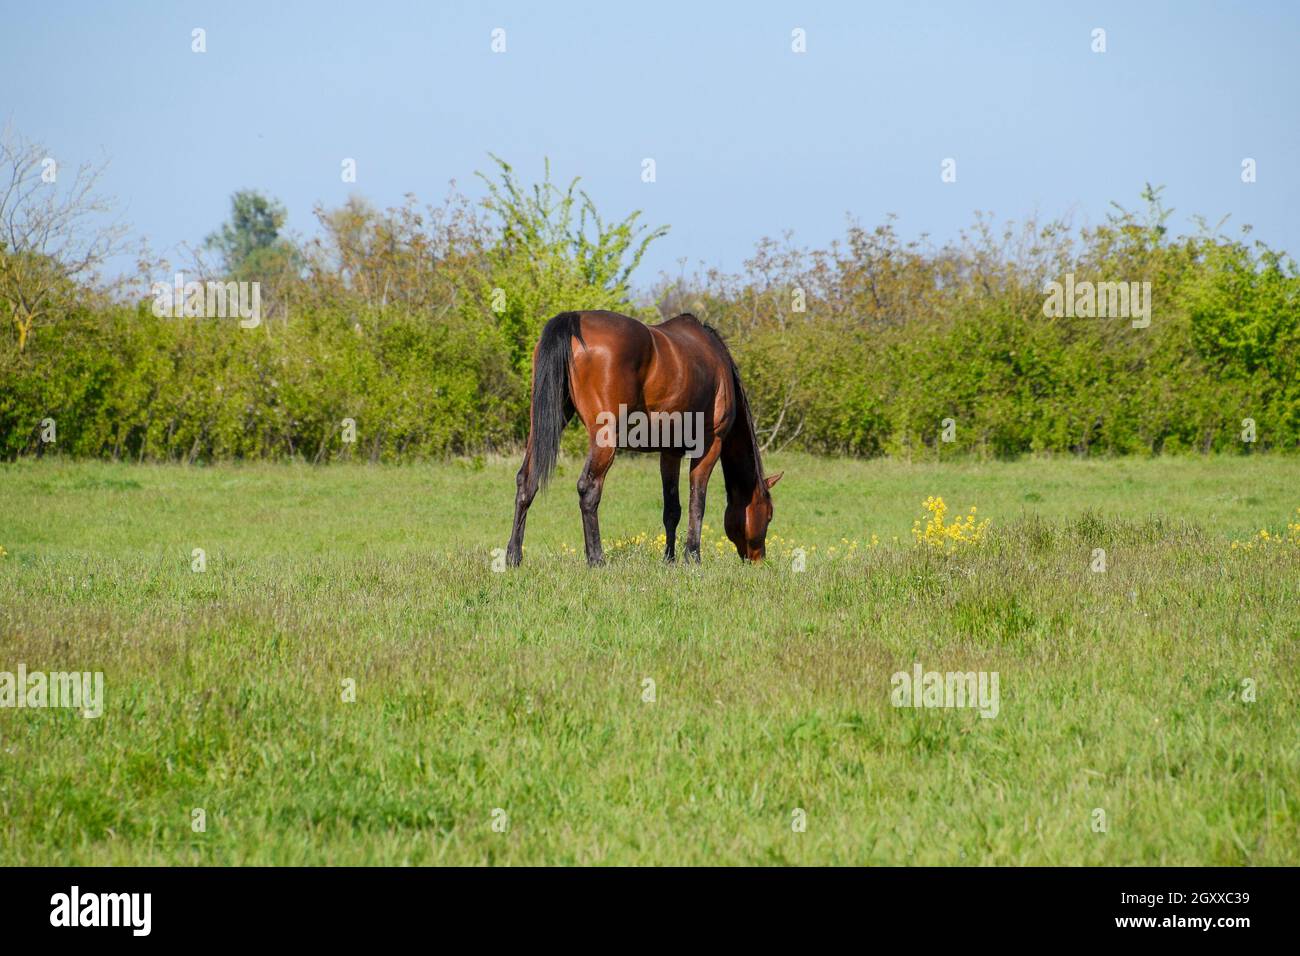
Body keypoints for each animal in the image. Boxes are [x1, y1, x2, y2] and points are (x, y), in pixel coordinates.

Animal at [505, 310, 781, 567]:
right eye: (769, 514)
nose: (759, 560)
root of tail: (573, 318)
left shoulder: (670, 451)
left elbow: (672, 509)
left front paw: (669, 559)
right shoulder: (710, 444)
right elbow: (697, 502)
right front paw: (692, 557)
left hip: (543, 424)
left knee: (526, 482)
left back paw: (513, 556)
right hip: (605, 438)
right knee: (589, 488)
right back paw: (596, 559)